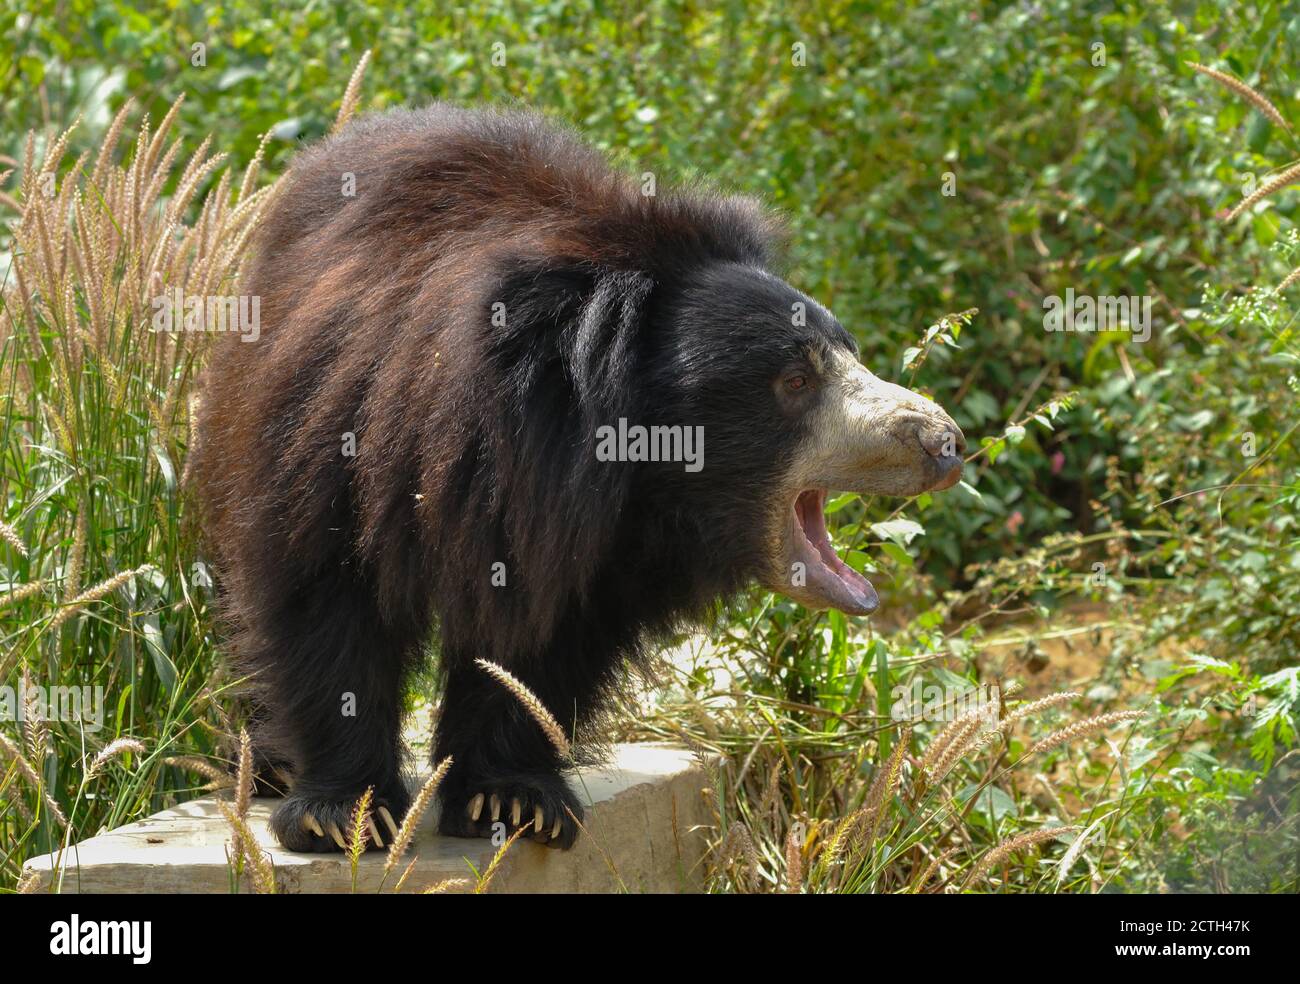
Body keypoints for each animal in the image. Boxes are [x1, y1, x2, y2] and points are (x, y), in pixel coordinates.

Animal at [192, 104, 965, 853]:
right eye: (796, 381)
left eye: (850, 353)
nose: (945, 443)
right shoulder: (331, 426)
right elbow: (323, 596)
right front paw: (342, 814)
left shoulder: (592, 534)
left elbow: (544, 640)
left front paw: (512, 800)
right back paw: (264, 764)